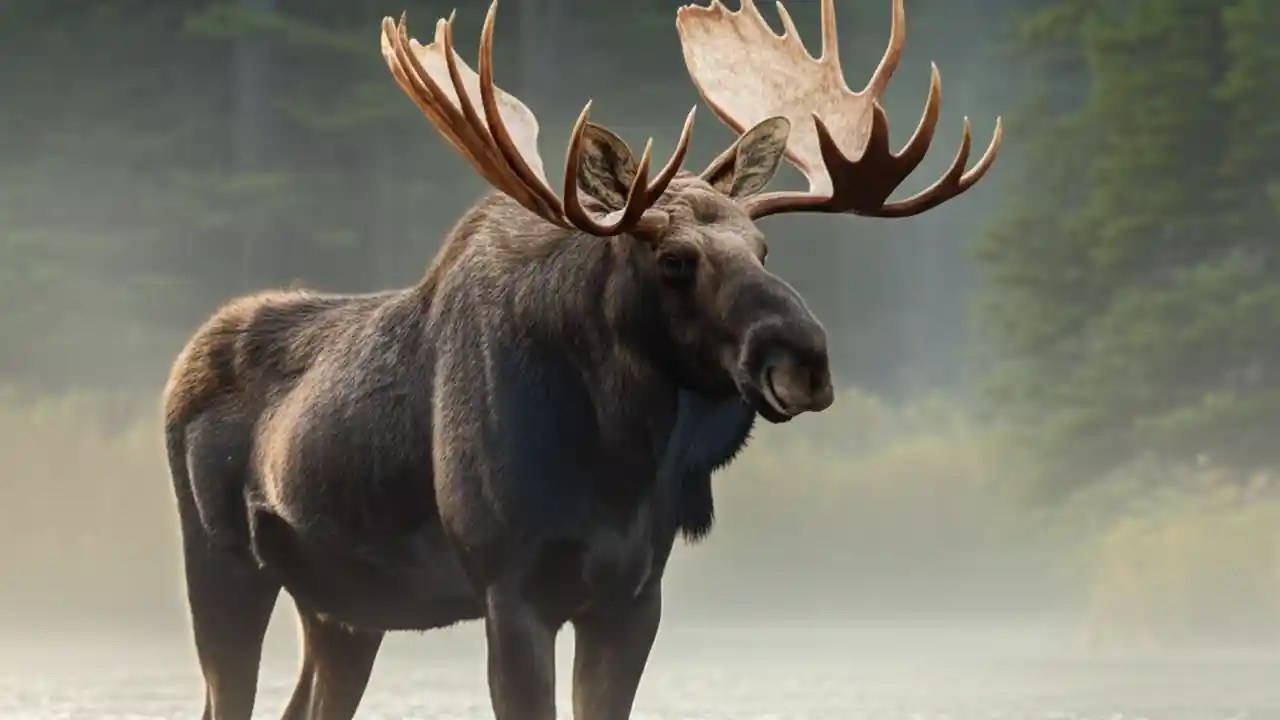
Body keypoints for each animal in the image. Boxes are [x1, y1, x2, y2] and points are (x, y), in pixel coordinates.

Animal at [161, 0, 1000, 718]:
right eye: (673, 259)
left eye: (763, 247)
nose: (805, 361)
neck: (617, 458)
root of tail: (181, 364)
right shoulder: (511, 590)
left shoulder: (633, 596)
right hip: (221, 562)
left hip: (343, 606)